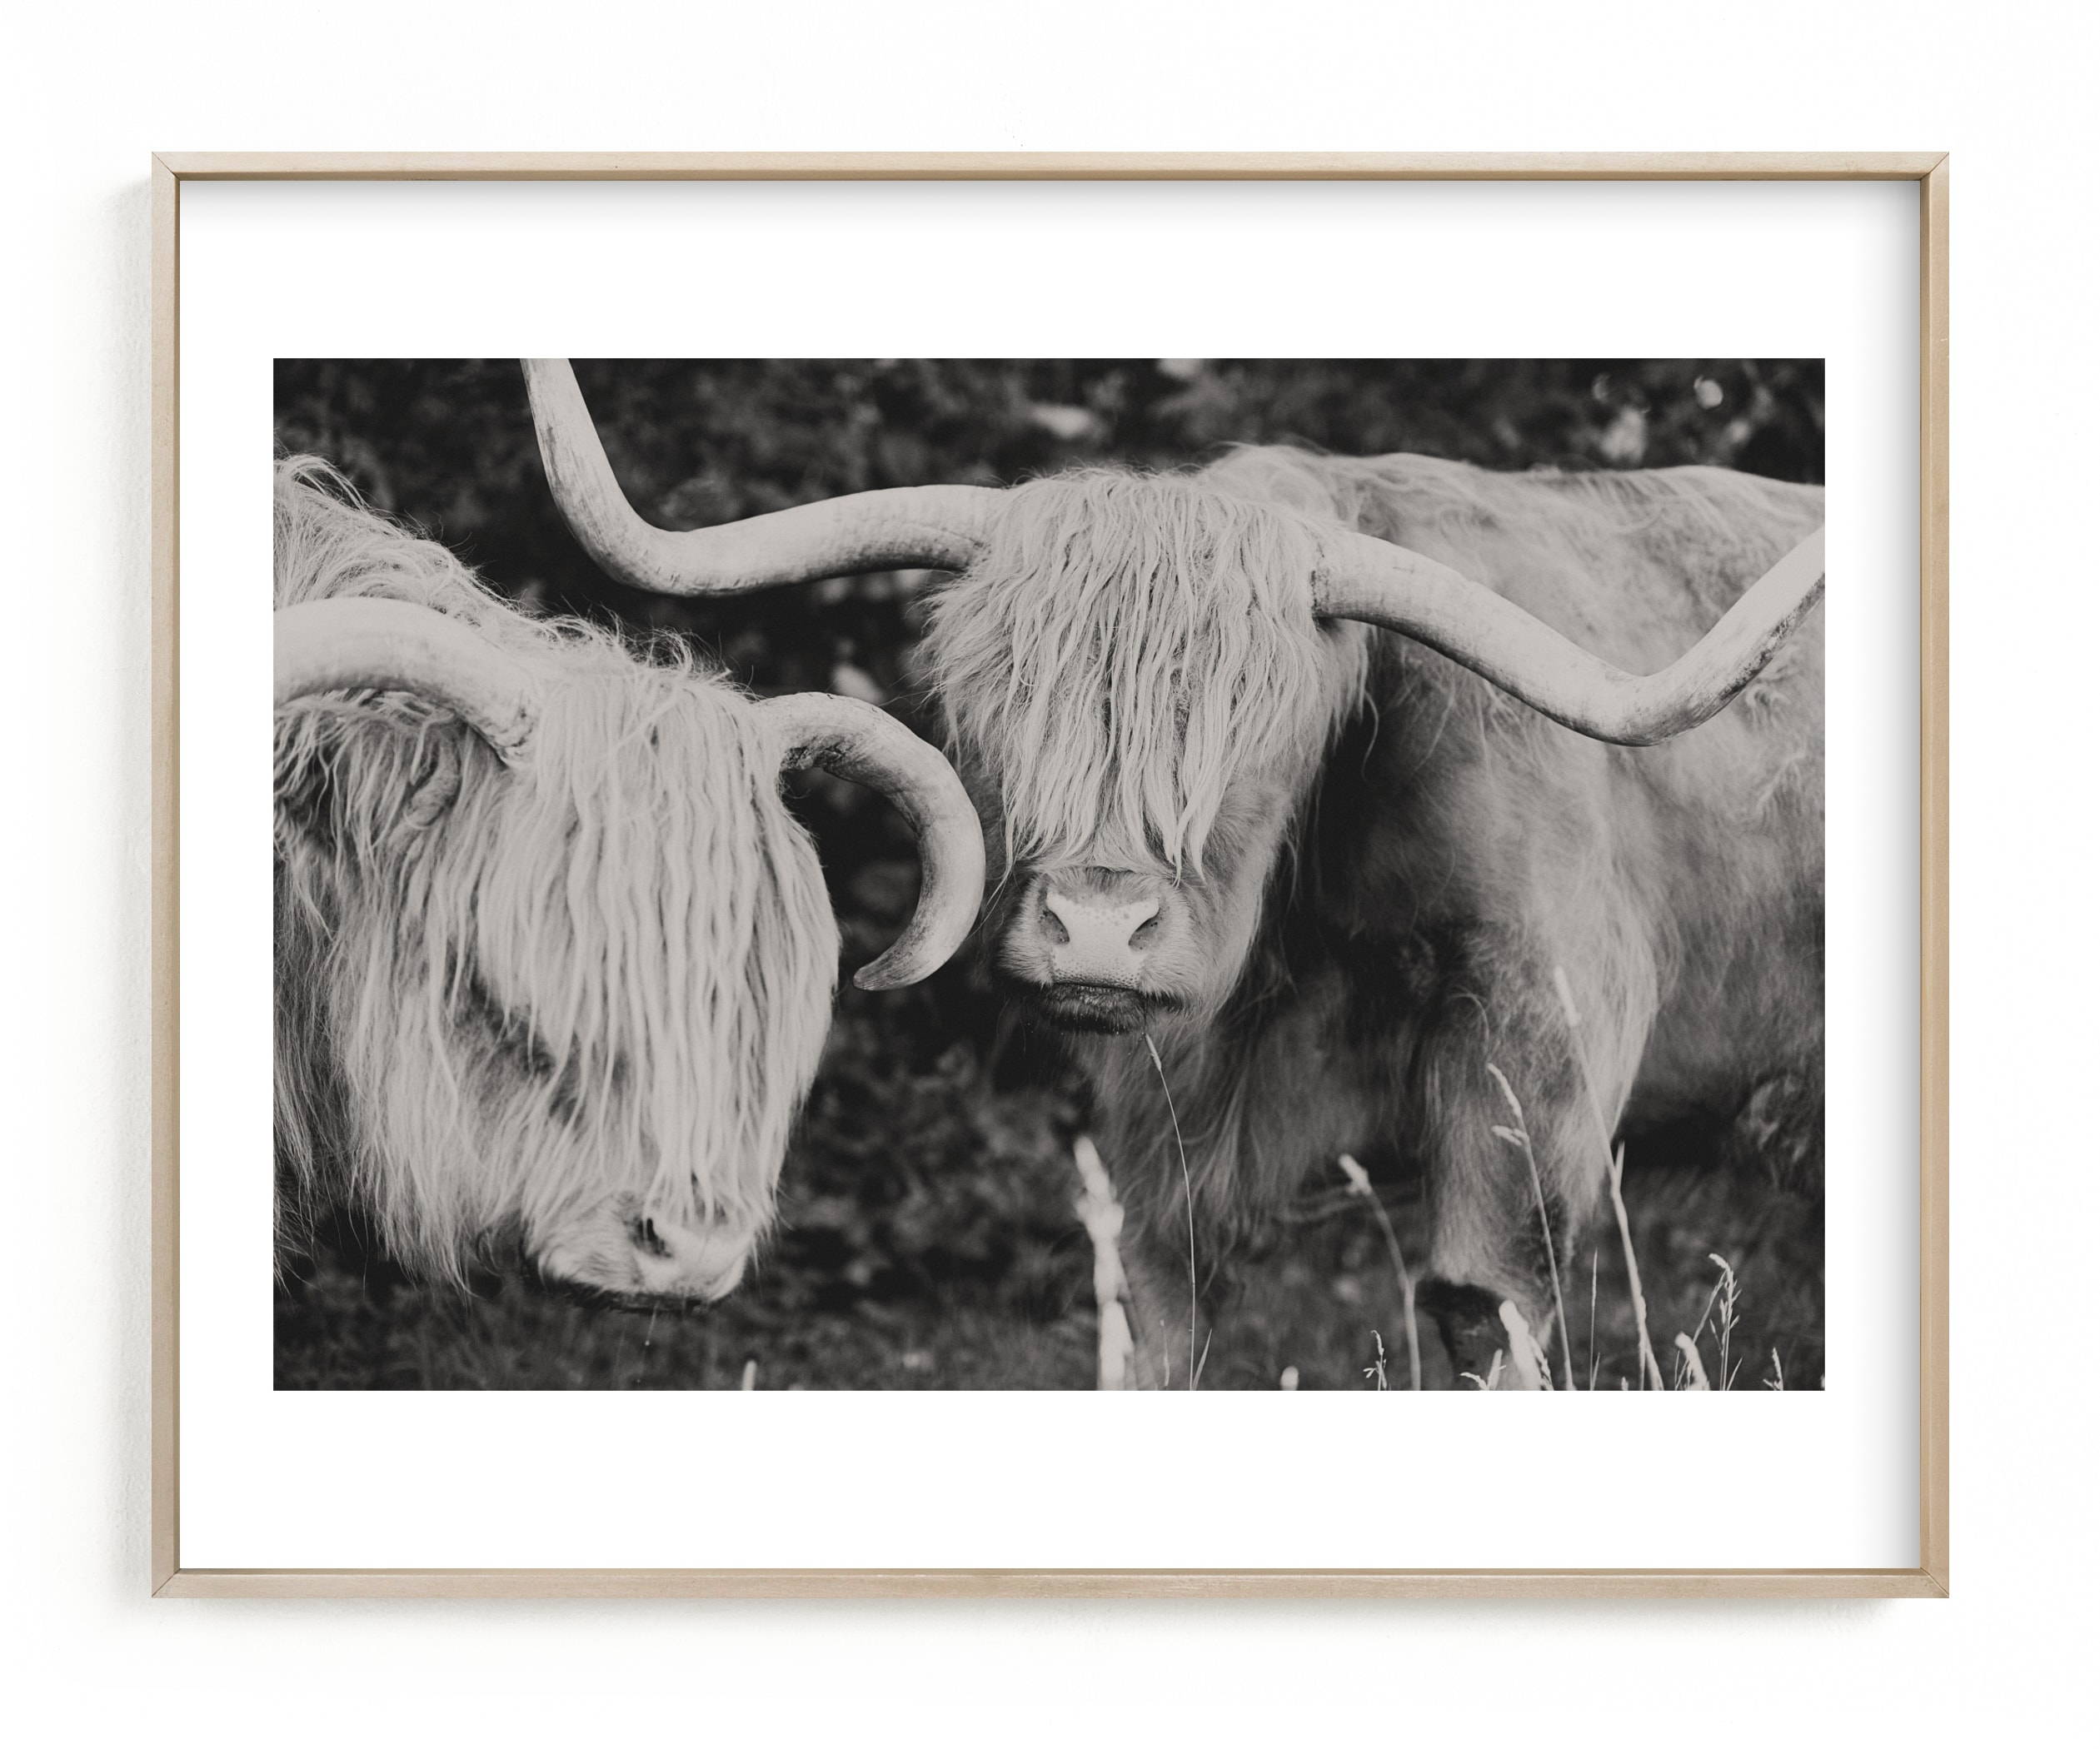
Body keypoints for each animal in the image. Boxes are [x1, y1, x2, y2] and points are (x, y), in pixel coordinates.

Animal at [521, 359, 1825, 1385]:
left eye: (1259, 737)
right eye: (995, 710)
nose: (1098, 932)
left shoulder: (1538, 1040)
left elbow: (1478, 1303)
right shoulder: (1169, 1115)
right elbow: (1160, 1309)